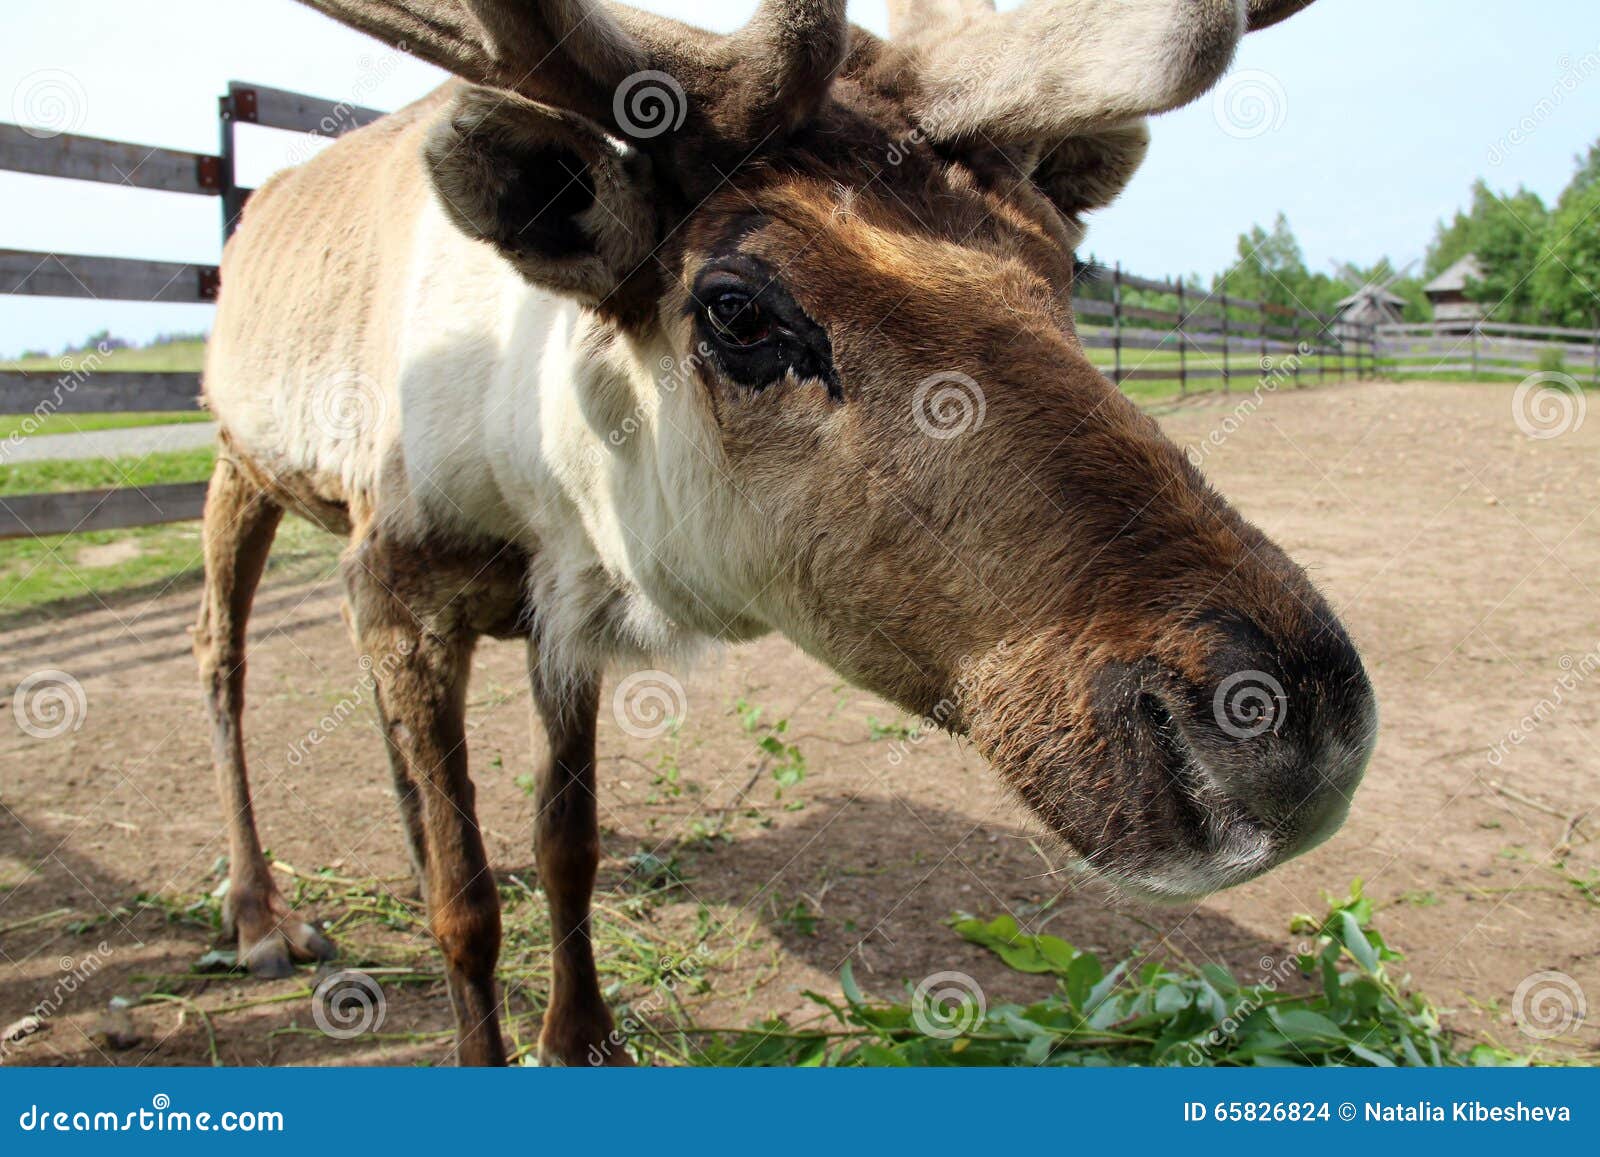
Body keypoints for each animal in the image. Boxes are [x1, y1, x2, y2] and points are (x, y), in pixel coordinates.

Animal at [194, 0, 1372, 1066]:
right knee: (222, 659)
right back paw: (259, 912)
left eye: (1062, 268)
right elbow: (465, 900)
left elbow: (565, 844)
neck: (536, 445)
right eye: (739, 310)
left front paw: (583, 1037)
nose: (1293, 722)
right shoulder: (400, 580)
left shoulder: (557, 614)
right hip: (236, 461)